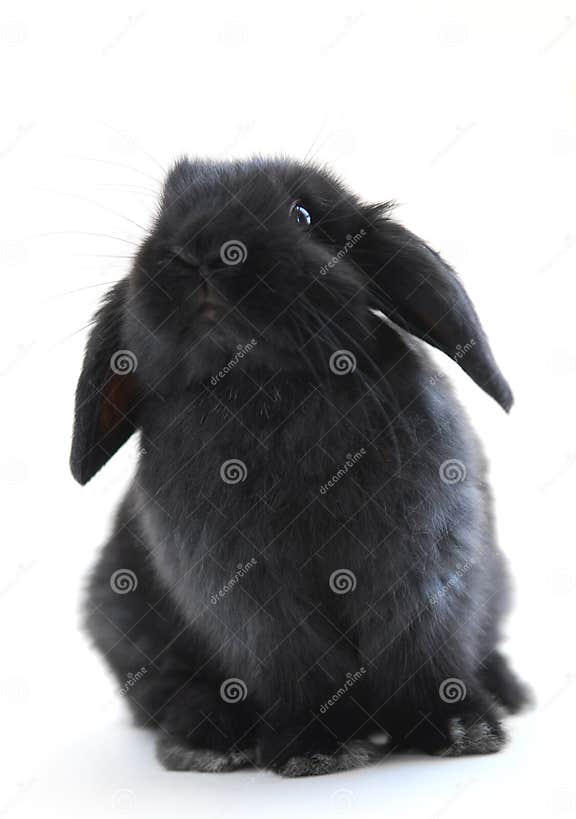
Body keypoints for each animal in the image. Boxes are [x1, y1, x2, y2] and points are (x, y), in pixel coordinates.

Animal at [71, 156, 529, 776]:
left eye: (303, 213)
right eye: (162, 213)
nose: (201, 248)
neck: (264, 384)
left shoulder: (422, 563)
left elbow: (422, 648)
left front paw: (459, 726)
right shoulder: (247, 595)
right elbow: (300, 663)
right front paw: (318, 745)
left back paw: (506, 691)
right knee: (163, 688)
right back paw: (208, 734)